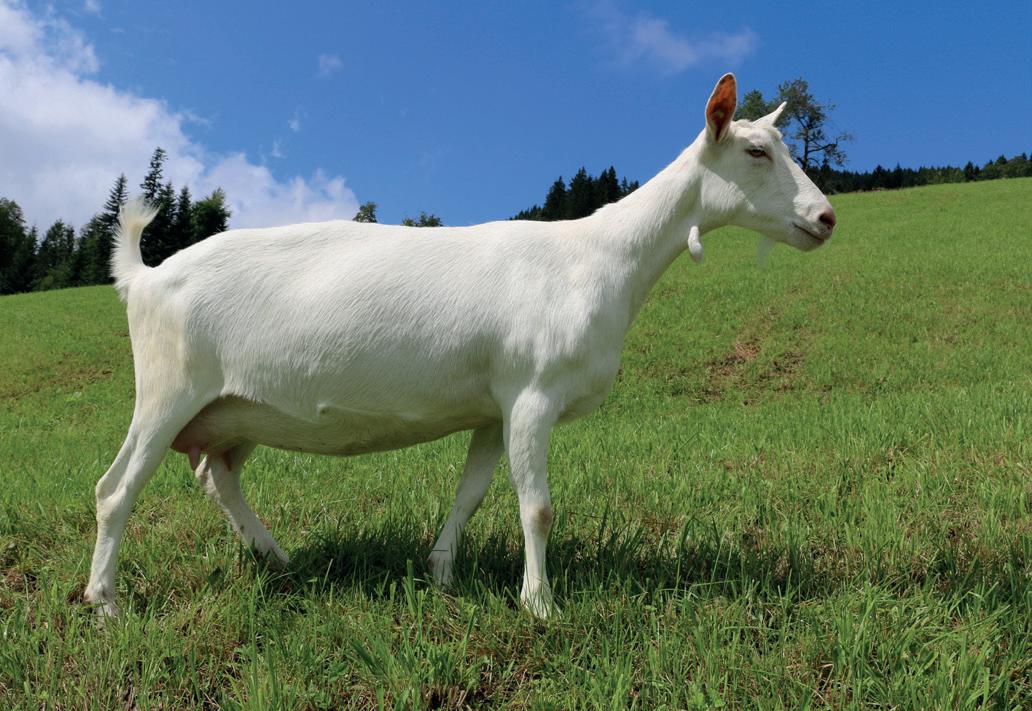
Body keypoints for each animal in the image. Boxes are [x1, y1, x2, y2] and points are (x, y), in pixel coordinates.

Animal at [85, 74, 836, 619]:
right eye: (757, 151)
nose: (826, 217)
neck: (599, 257)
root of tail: (144, 276)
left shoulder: (492, 407)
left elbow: (471, 493)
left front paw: (442, 572)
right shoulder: (533, 392)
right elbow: (537, 504)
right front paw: (540, 605)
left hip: (232, 408)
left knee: (217, 474)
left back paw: (276, 558)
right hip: (169, 388)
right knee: (114, 489)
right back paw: (107, 604)